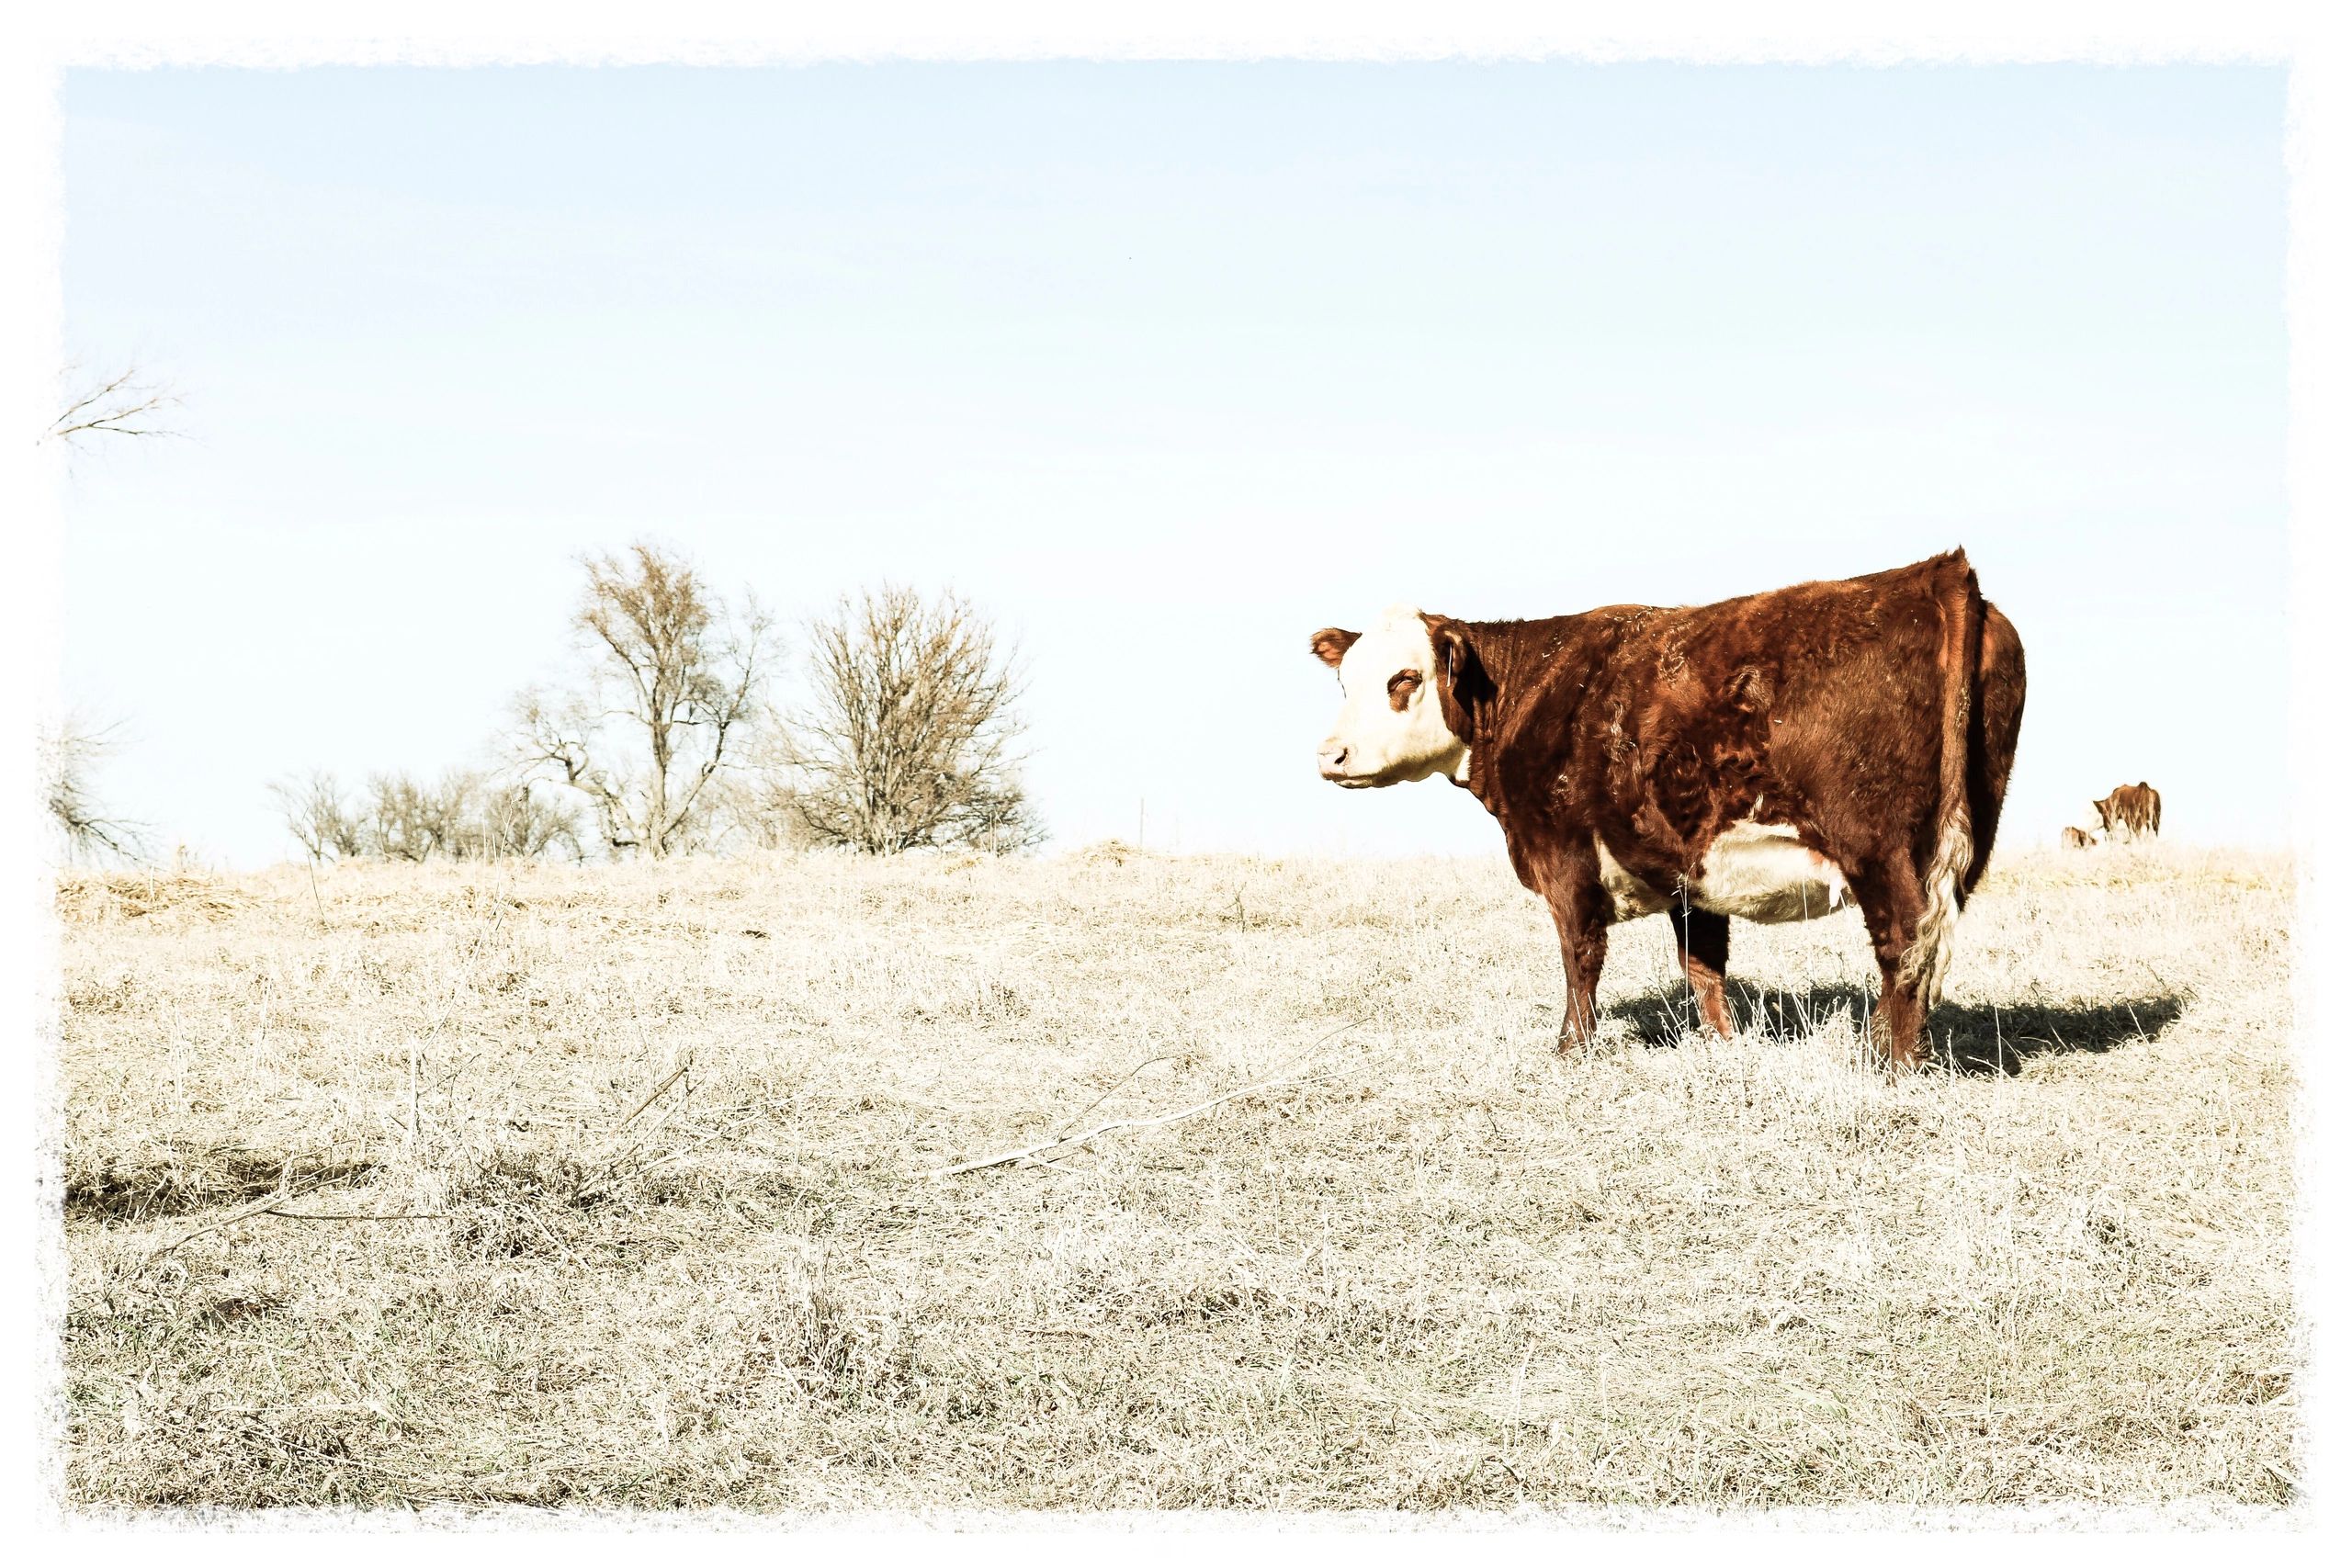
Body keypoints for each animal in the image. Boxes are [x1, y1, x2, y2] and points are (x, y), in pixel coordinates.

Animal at [1309, 549, 2026, 1071]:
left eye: (1404, 678)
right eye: (1343, 680)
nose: (1331, 754)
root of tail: (1937, 573)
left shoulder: (1563, 852)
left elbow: (1580, 955)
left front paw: (1570, 1049)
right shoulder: (1690, 868)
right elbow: (1702, 965)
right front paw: (1721, 1046)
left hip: (1878, 848)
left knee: (1904, 940)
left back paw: (1892, 1064)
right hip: (1966, 838)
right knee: (1926, 946)